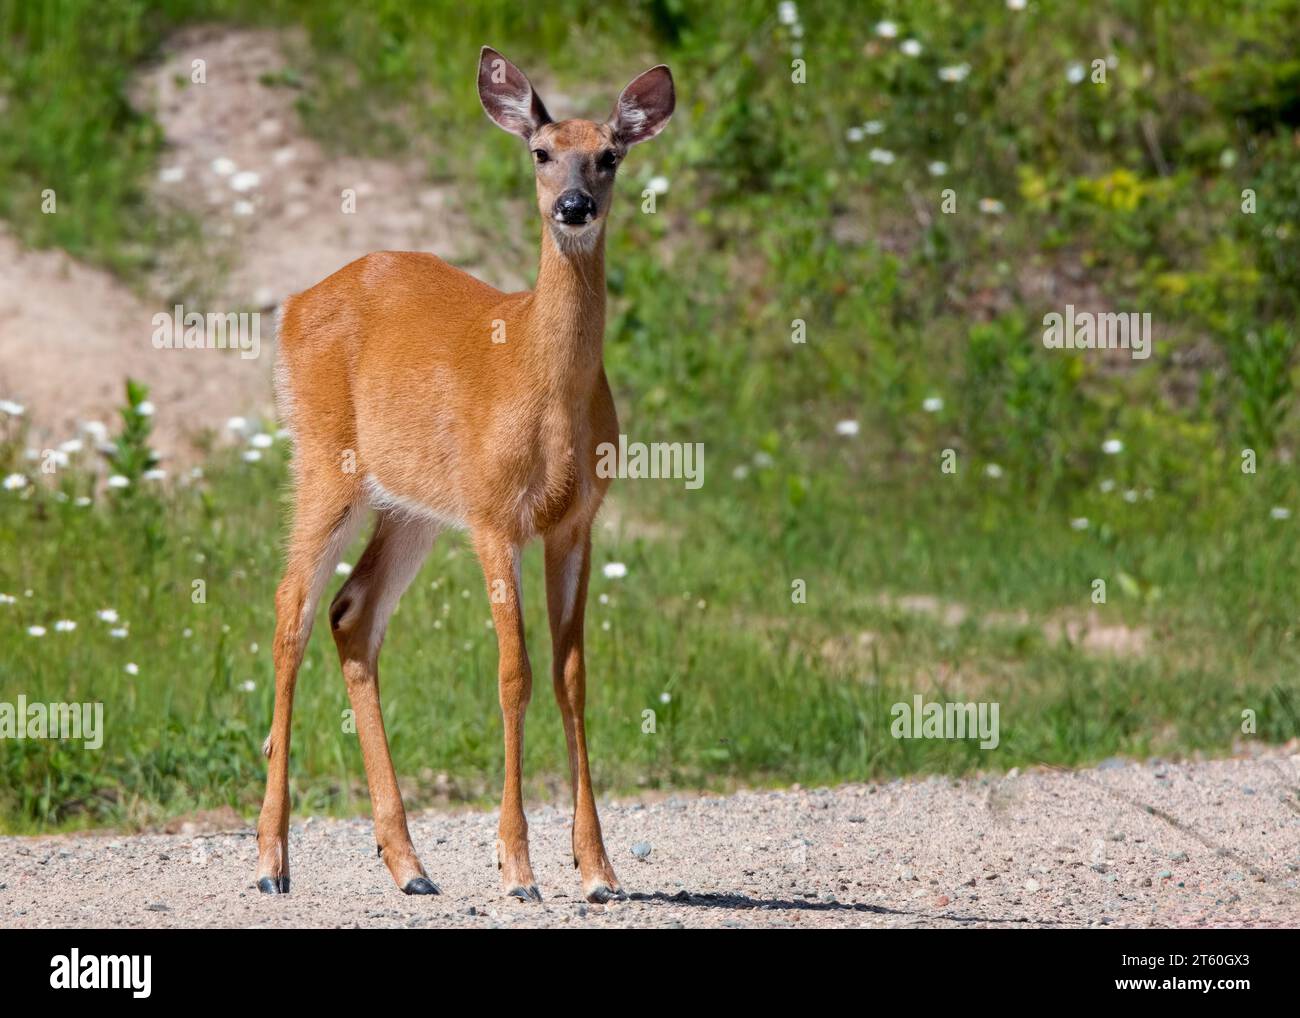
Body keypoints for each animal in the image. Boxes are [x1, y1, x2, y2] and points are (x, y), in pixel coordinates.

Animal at [254, 47, 674, 904]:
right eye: (540, 153)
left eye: (609, 156)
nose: (574, 206)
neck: (542, 389)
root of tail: (293, 304)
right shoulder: (493, 516)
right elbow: (513, 673)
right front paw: (517, 867)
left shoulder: (576, 523)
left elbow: (572, 675)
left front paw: (597, 868)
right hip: (324, 460)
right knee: (291, 610)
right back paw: (272, 861)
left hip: (411, 506)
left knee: (351, 613)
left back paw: (409, 865)